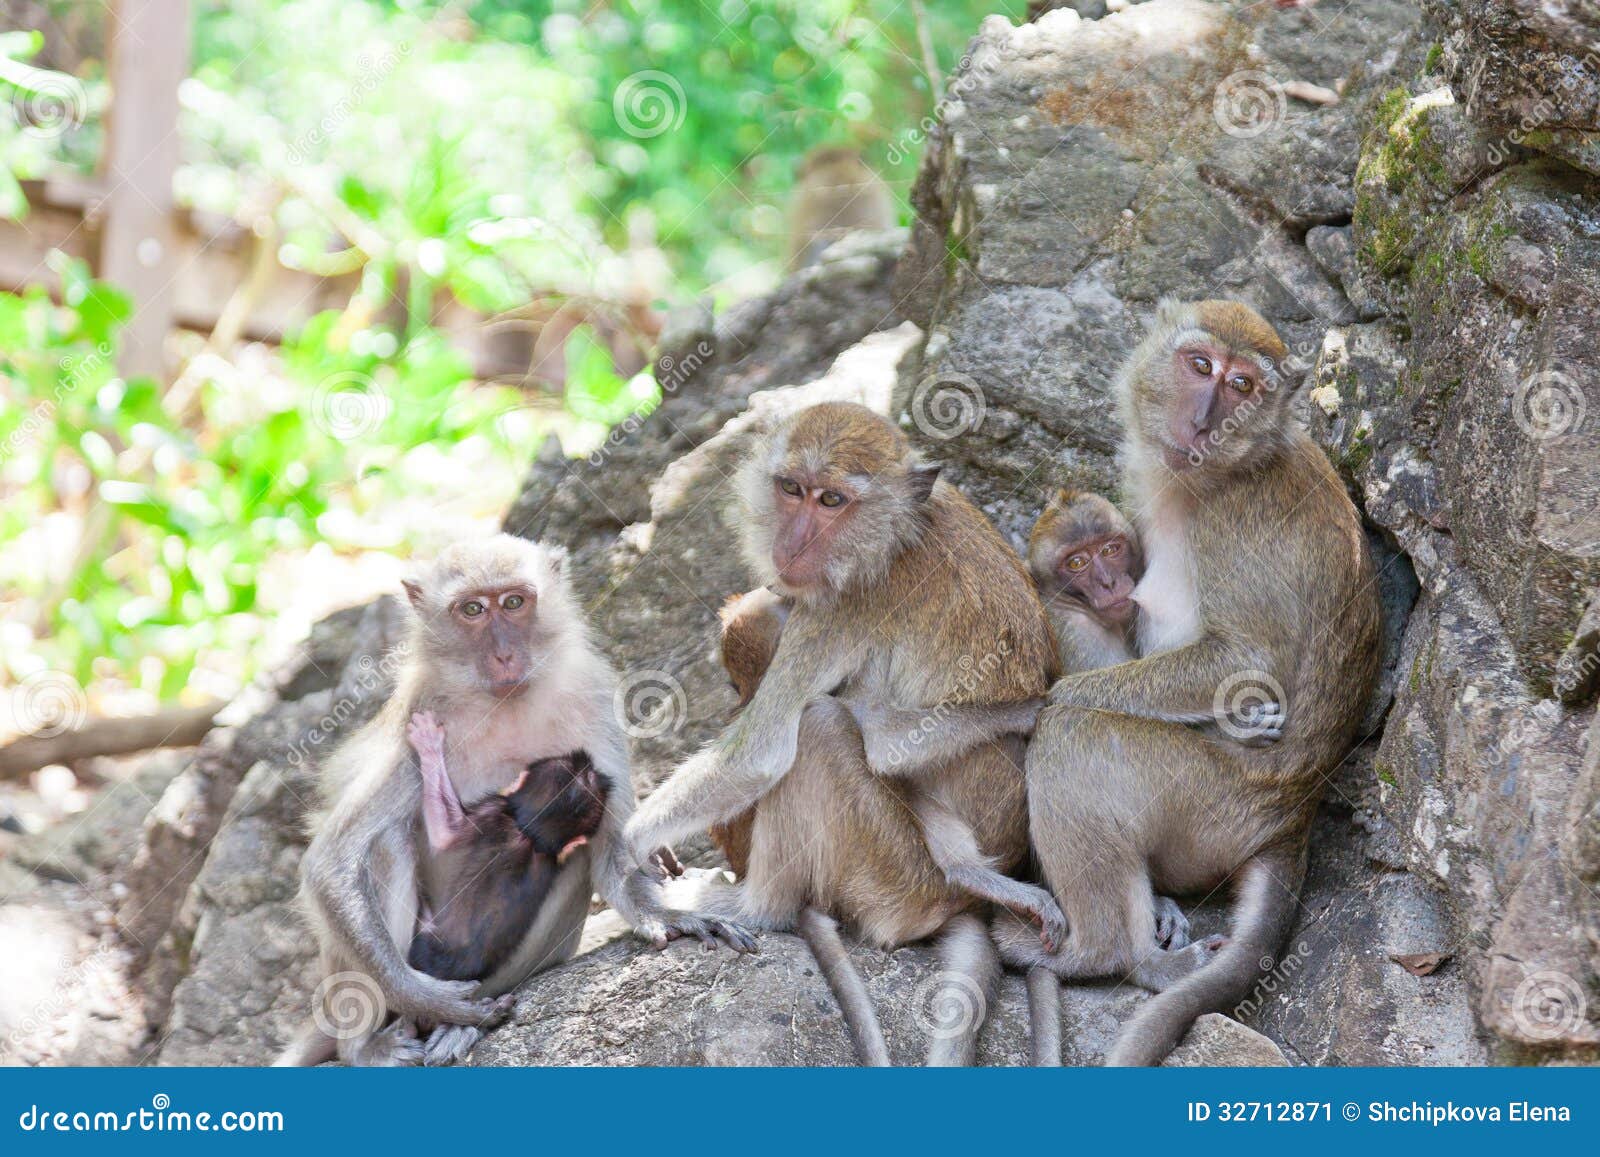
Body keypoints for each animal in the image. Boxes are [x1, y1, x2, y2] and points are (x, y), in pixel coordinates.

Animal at [624, 402, 1058, 1066]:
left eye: (832, 500)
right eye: (791, 489)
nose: (796, 542)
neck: (897, 532)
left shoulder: (841, 604)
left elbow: (763, 753)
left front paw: (622, 858)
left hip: (895, 877)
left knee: (821, 729)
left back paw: (752, 907)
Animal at [994, 299, 1381, 1065]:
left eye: (1242, 386)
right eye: (1200, 366)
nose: (1205, 419)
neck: (1216, 475)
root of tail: (1293, 820)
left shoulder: (1237, 523)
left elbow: (1243, 658)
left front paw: (1043, 700)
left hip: (1206, 806)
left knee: (1074, 741)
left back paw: (1100, 954)